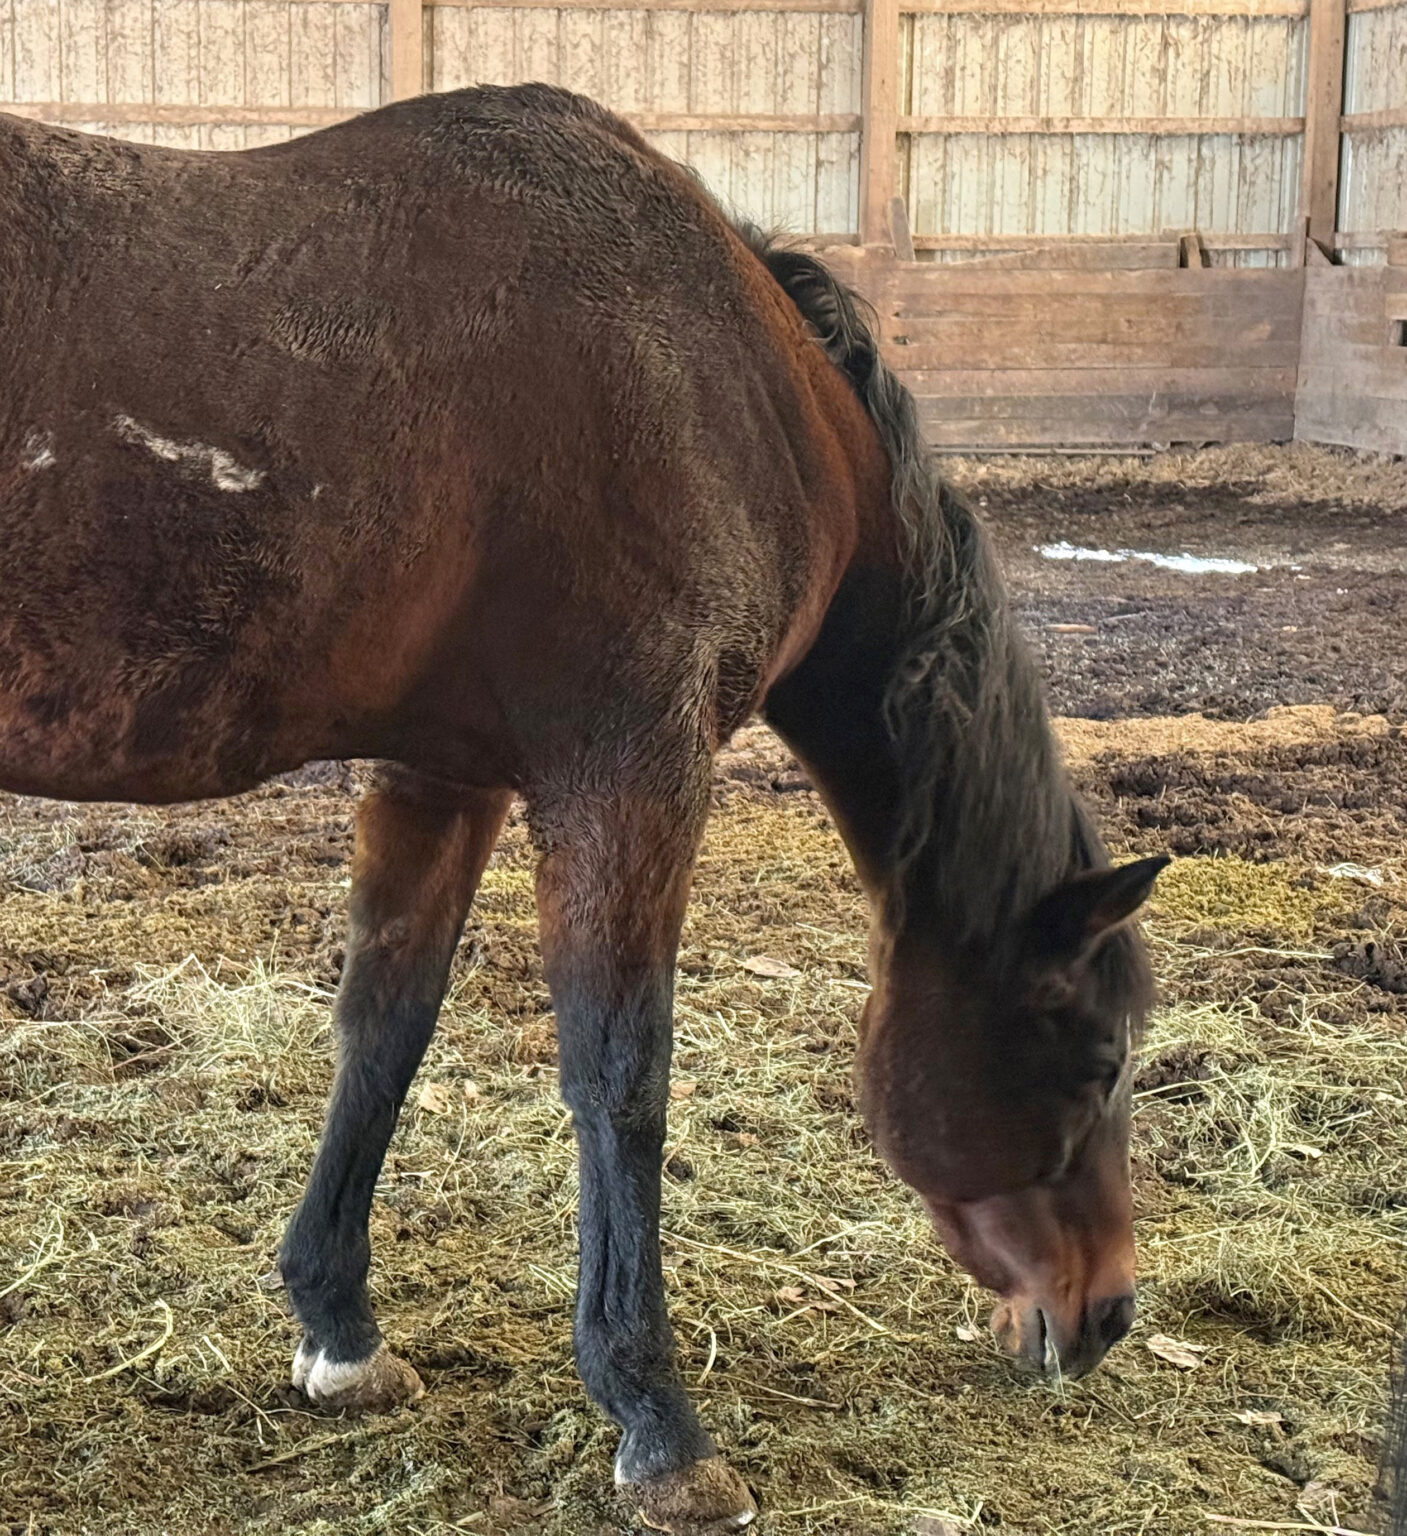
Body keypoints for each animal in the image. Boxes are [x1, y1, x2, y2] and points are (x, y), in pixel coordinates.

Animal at [0, 84, 1164, 1532]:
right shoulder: (632, 771)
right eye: (1103, 1059)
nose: (1105, 1313)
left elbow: (384, 1027)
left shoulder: (446, 774)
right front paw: (654, 1417)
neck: (737, 383)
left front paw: (339, 1328)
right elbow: (622, 1080)